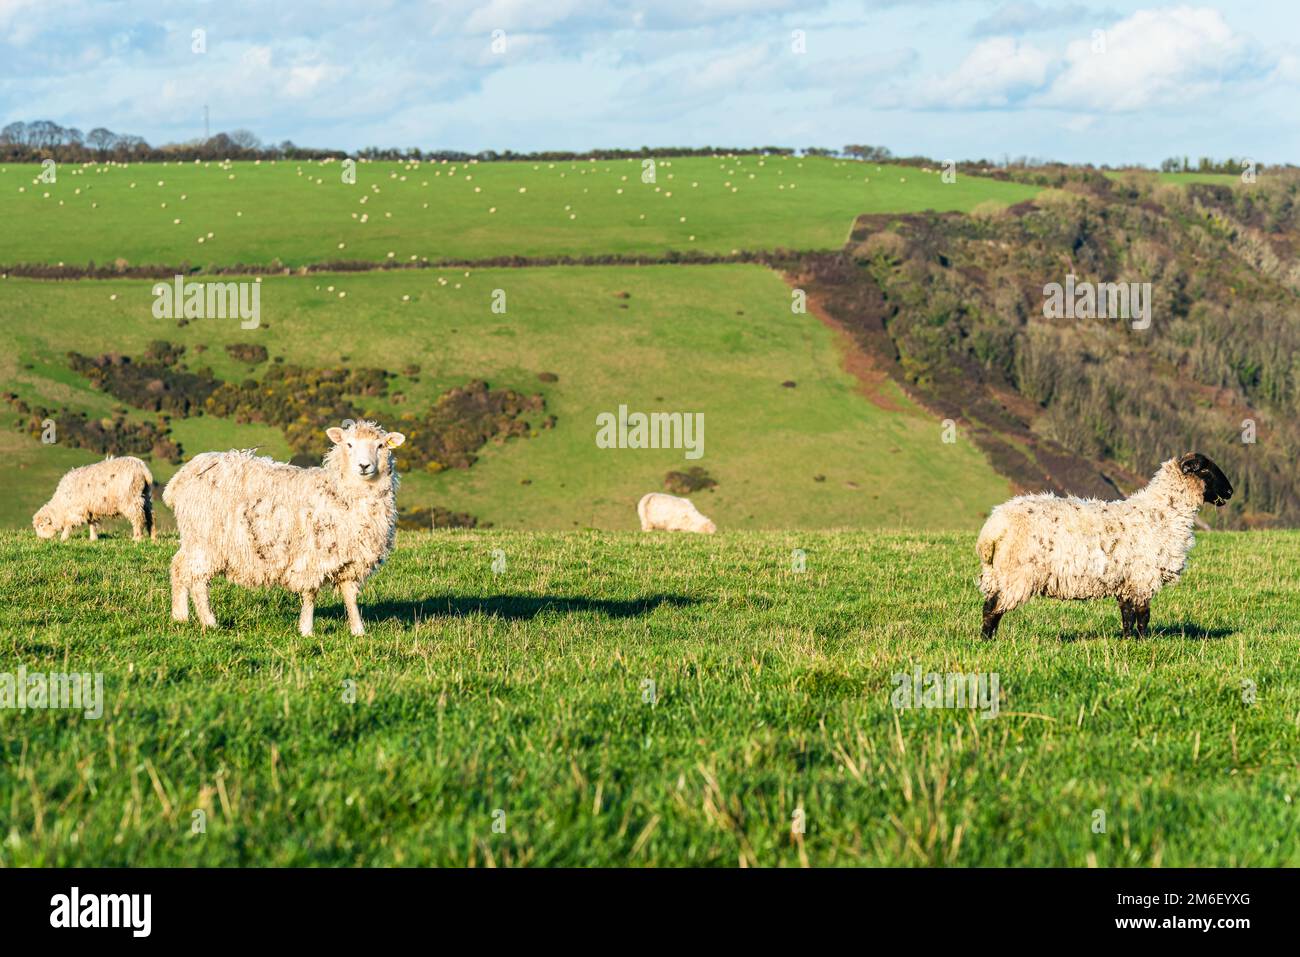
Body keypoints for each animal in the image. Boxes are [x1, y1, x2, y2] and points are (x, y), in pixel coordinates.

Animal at [163, 421, 405, 637]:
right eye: (349, 444)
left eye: (380, 445)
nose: (364, 466)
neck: (341, 492)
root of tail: (178, 480)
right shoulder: (311, 556)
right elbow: (310, 594)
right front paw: (306, 630)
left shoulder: (351, 560)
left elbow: (350, 596)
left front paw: (358, 630)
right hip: (206, 540)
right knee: (197, 580)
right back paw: (209, 621)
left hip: (194, 538)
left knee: (178, 566)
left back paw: (180, 616)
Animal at [977, 452, 1233, 639]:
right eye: (1206, 469)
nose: (1230, 491)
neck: (1163, 513)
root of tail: (993, 527)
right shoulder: (1143, 578)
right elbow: (1143, 616)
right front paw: (1144, 642)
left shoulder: (1127, 581)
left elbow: (1127, 616)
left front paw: (1128, 641)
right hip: (1016, 574)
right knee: (993, 608)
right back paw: (988, 641)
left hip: (998, 573)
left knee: (989, 605)